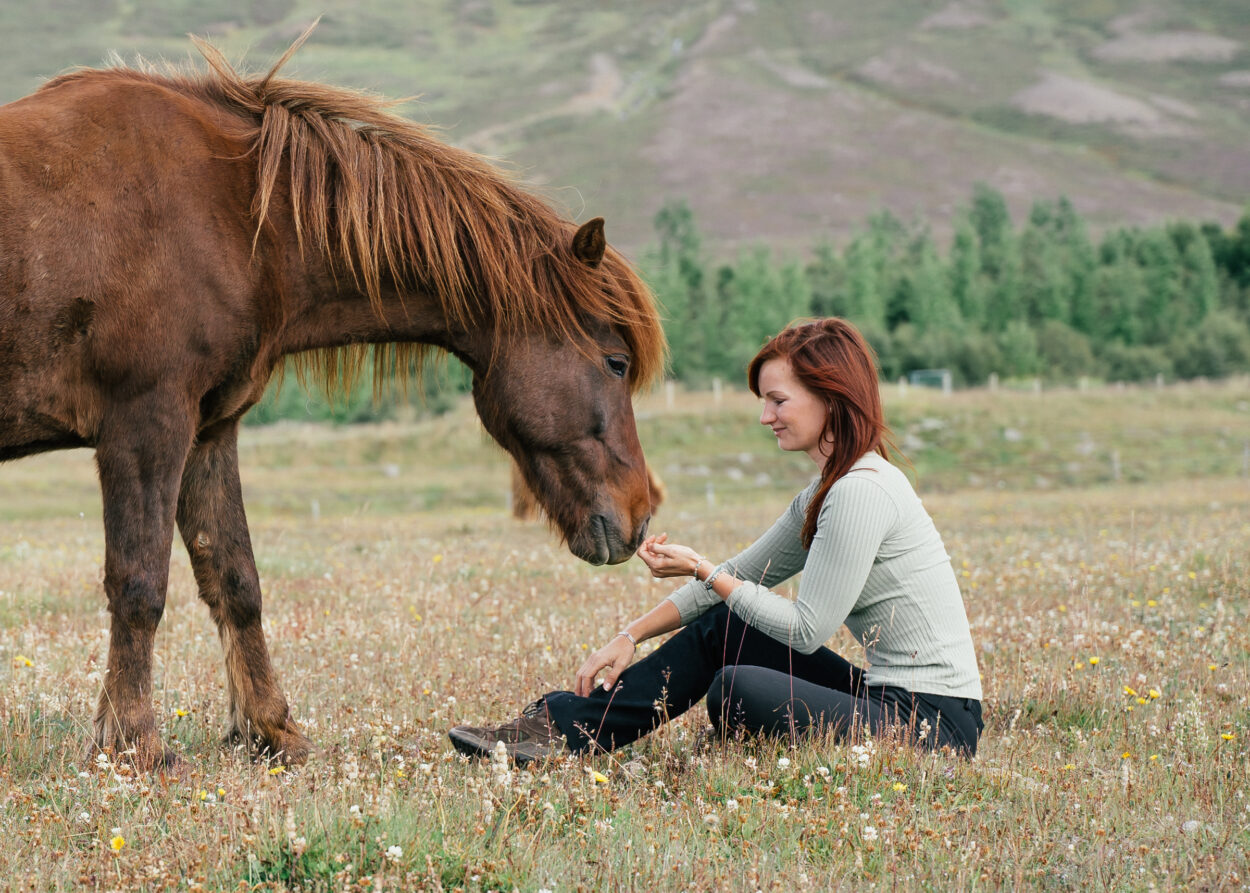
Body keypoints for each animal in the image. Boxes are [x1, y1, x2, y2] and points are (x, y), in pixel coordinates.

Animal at [0, 32, 664, 770]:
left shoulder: (208, 431)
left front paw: (270, 730)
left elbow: (235, 581)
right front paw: (135, 744)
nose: (639, 515)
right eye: (616, 361)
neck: (230, 209)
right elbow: (140, 584)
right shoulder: (147, 424)